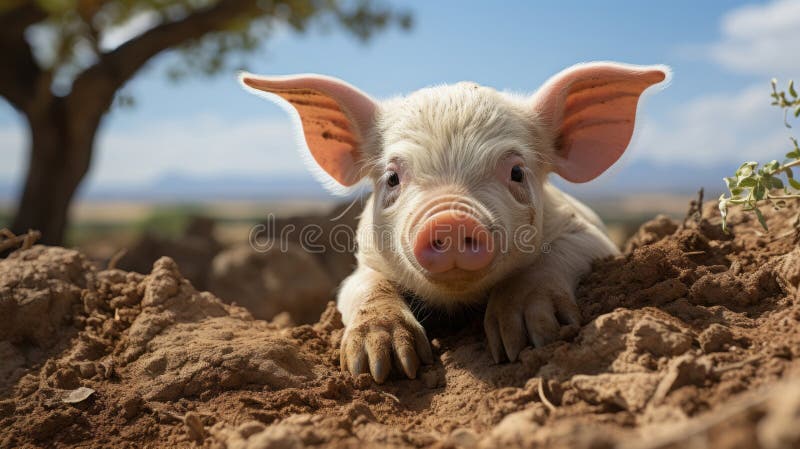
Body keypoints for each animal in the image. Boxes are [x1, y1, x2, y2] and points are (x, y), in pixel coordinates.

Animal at [241, 62, 669, 383]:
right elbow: (365, 287)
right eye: (392, 178)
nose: (450, 218)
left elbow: (547, 264)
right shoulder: (363, 263)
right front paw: (381, 366)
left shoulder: (590, 236)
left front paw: (526, 340)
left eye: (516, 172)